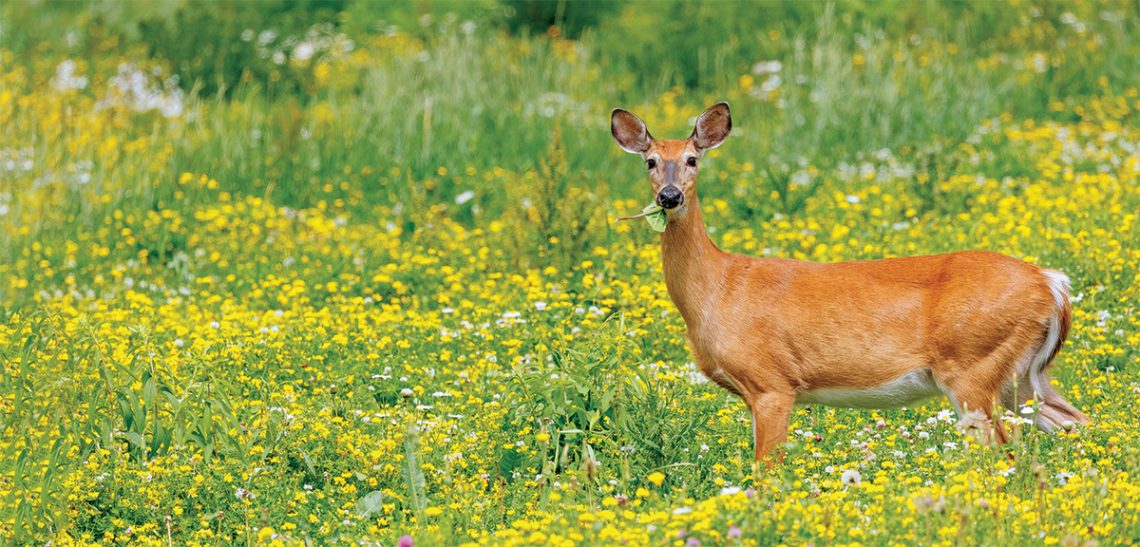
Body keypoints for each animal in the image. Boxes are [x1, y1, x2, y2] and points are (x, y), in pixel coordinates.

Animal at [610, 102, 1090, 461]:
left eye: (692, 159)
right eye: (651, 162)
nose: (669, 196)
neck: (719, 288)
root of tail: (1052, 283)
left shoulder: (772, 383)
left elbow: (766, 473)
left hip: (973, 364)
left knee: (1003, 449)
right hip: (1023, 376)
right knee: (1076, 422)